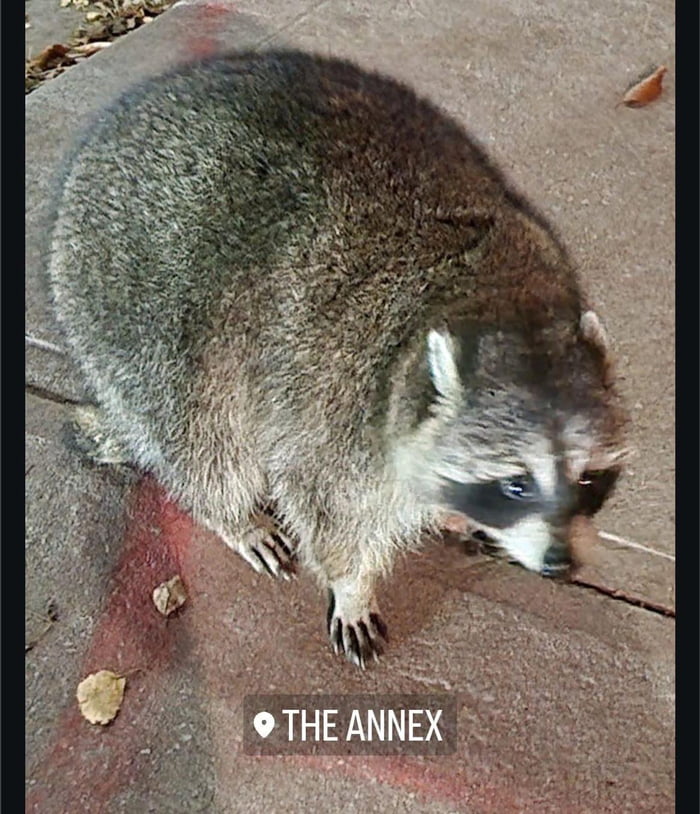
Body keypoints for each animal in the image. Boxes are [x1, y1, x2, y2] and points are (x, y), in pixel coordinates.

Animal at [48, 50, 627, 668]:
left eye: (590, 479)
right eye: (517, 484)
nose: (561, 565)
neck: (504, 302)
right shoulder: (335, 410)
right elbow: (326, 509)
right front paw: (352, 585)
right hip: (135, 316)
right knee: (202, 439)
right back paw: (231, 513)